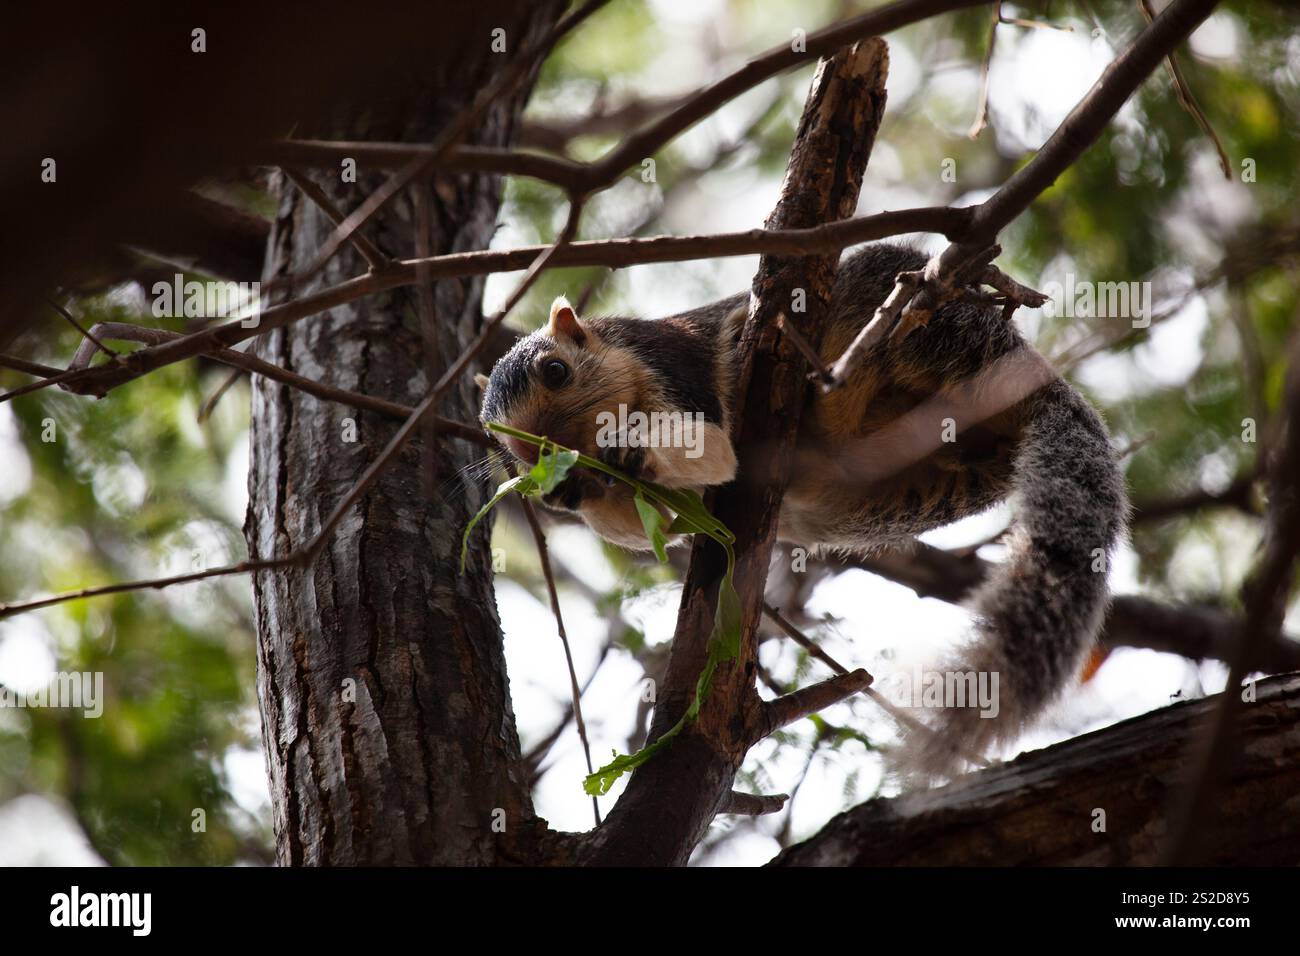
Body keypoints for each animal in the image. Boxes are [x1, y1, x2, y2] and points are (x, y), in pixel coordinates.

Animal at [476, 243, 1129, 779]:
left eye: (555, 370)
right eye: (504, 447)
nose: (545, 462)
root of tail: (1027, 373)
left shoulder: (672, 365)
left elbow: (713, 448)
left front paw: (632, 449)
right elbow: (656, 521)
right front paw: (580, 487)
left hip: (911, 321)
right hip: (904, 488)